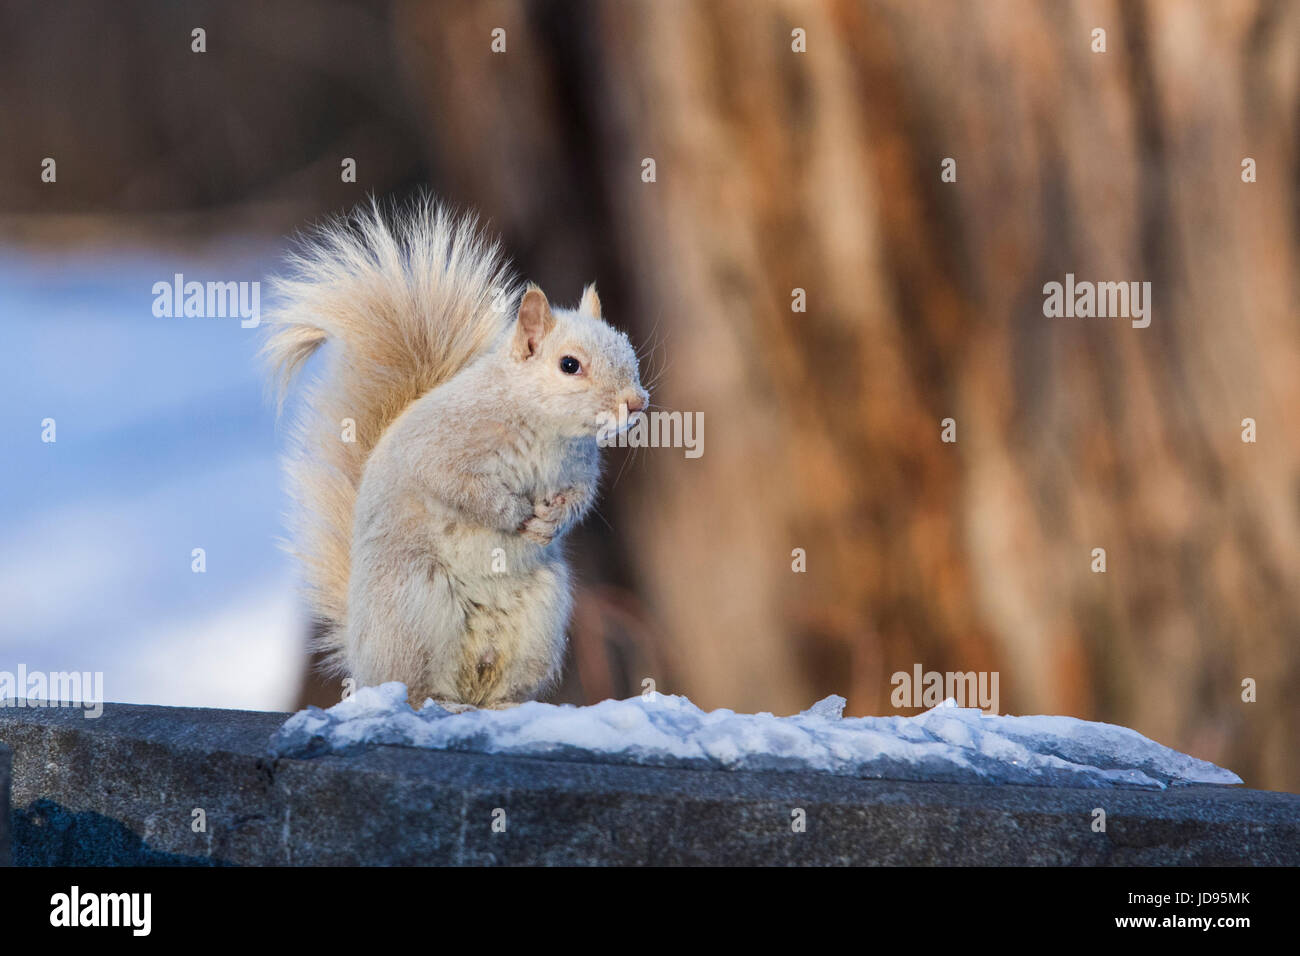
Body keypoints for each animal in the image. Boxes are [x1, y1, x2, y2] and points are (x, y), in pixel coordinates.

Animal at [263, 198, 648, 709]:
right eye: (570, 365)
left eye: (630, 352)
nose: (636, 403)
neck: (546, 430)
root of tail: (364, 657)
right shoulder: (444, 448)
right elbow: (457, 487)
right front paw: (514, 513)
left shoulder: (578, 470)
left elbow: (578, 499)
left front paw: (551, 521)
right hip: (414, 606)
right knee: (414, 683)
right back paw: (434, 699)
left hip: (542, 616)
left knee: (498, 685)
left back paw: (507, 703)